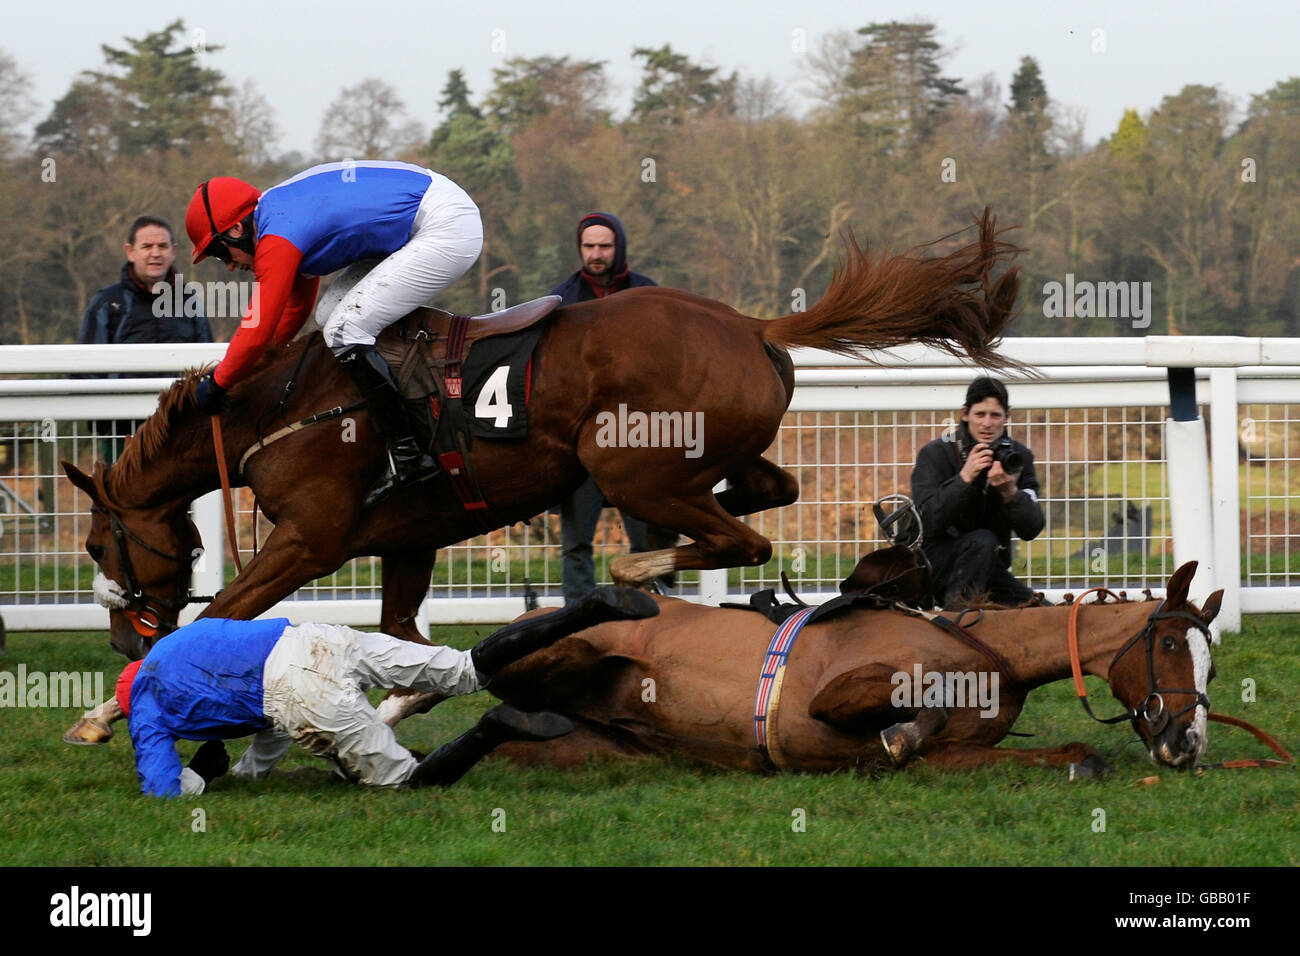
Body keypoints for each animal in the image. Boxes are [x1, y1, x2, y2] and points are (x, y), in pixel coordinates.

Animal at [62, 210, 1020, 741]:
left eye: (97, 546)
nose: (120, 640)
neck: (288, 405)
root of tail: (752, 324)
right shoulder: (407, 541)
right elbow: (407, 639)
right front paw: (400, 708)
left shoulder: (308, 541)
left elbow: (216, 615)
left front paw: (106, 712)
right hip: (696, 459)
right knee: (763, 496)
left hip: (626, 465)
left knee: (733, 537)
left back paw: (638, 574)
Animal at [482, 562, 1222, 776]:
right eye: (1168, 646)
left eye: (1211, 669)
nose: (1188, 742)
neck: (995, 661)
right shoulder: (835, 695)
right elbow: (917, 711)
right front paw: (900, 732)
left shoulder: (959, 757)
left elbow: (1072, 755)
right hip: (573, 653)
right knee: (494, 667)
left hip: (587, 745)